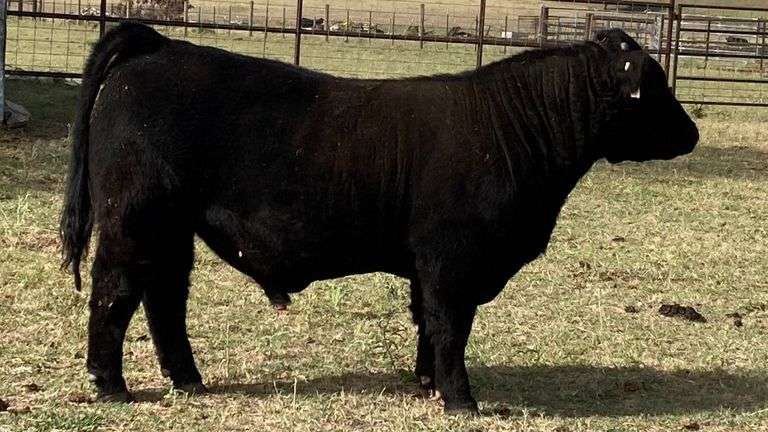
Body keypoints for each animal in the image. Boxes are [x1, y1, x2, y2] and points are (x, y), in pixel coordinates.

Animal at [60, 22, 698, 415]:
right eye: (654, 87)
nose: (692, 134)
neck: (513, 129)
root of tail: (160, 45)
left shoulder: (431, 266)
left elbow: (428, 325)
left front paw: (427, 384)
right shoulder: (453, 261)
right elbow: (450, 326)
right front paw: (461, 399)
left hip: (172, 230)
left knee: (164, 297)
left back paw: (188, 381)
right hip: (133, 220)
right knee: (114, 293)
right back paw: (111, 386)